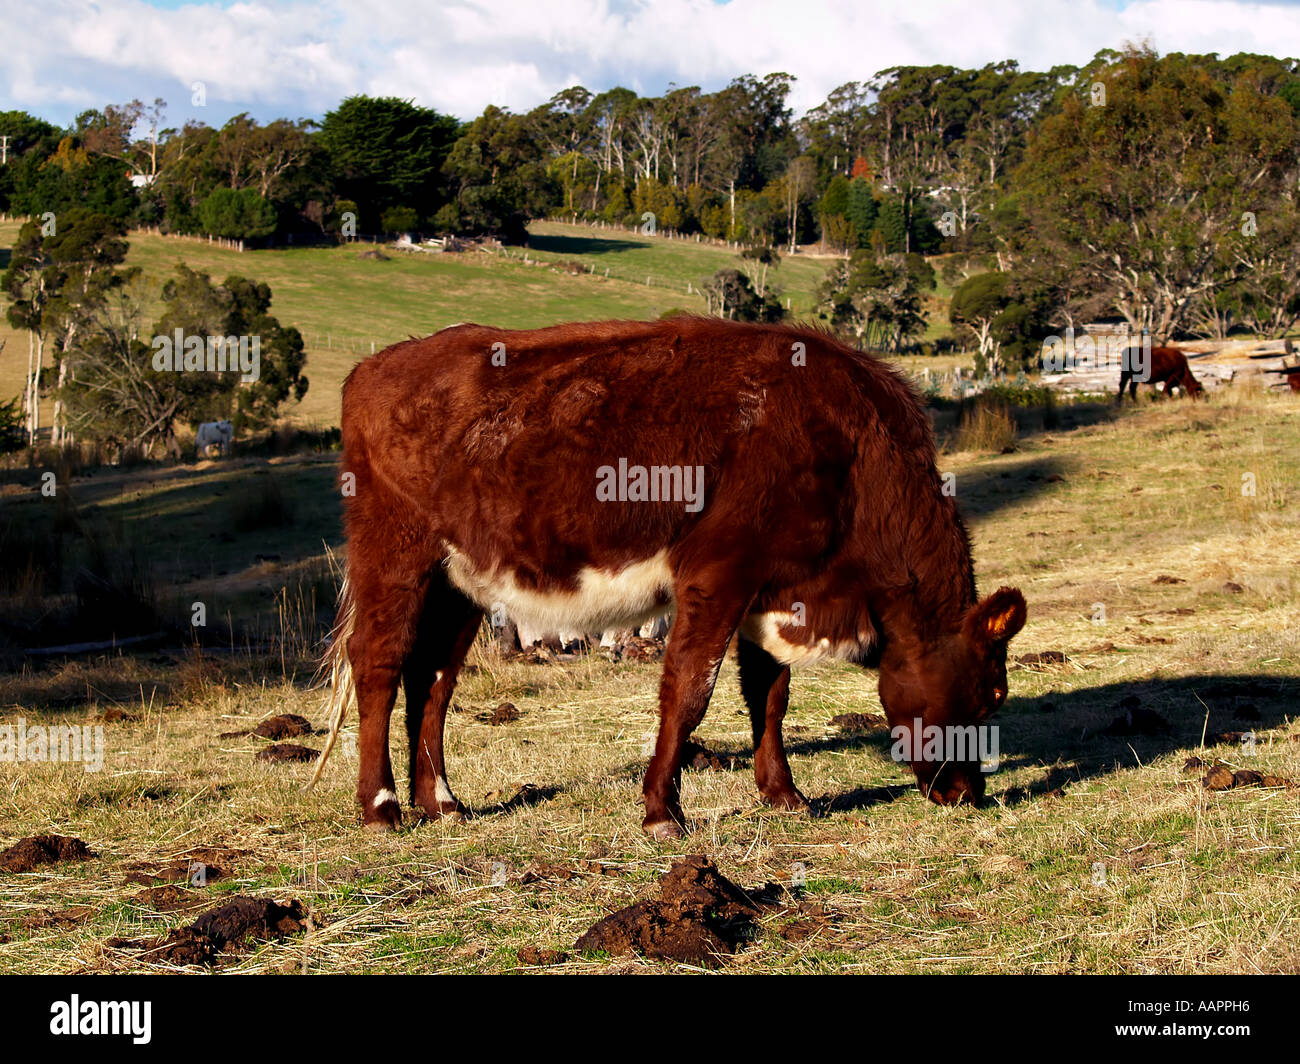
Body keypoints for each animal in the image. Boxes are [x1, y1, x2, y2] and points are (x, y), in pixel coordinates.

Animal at [311, 317, 1027, 838]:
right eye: (991, 697)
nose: (967, 794)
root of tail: (379, 364)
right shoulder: (717, 571)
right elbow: (689, 690)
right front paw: (663, 810)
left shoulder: (773, 589)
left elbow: (769, 694)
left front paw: (783, 794)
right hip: (394, 551)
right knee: (379, 664)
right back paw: (380, 807)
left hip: (461, 579)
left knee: (432, 677)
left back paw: (441, 801)